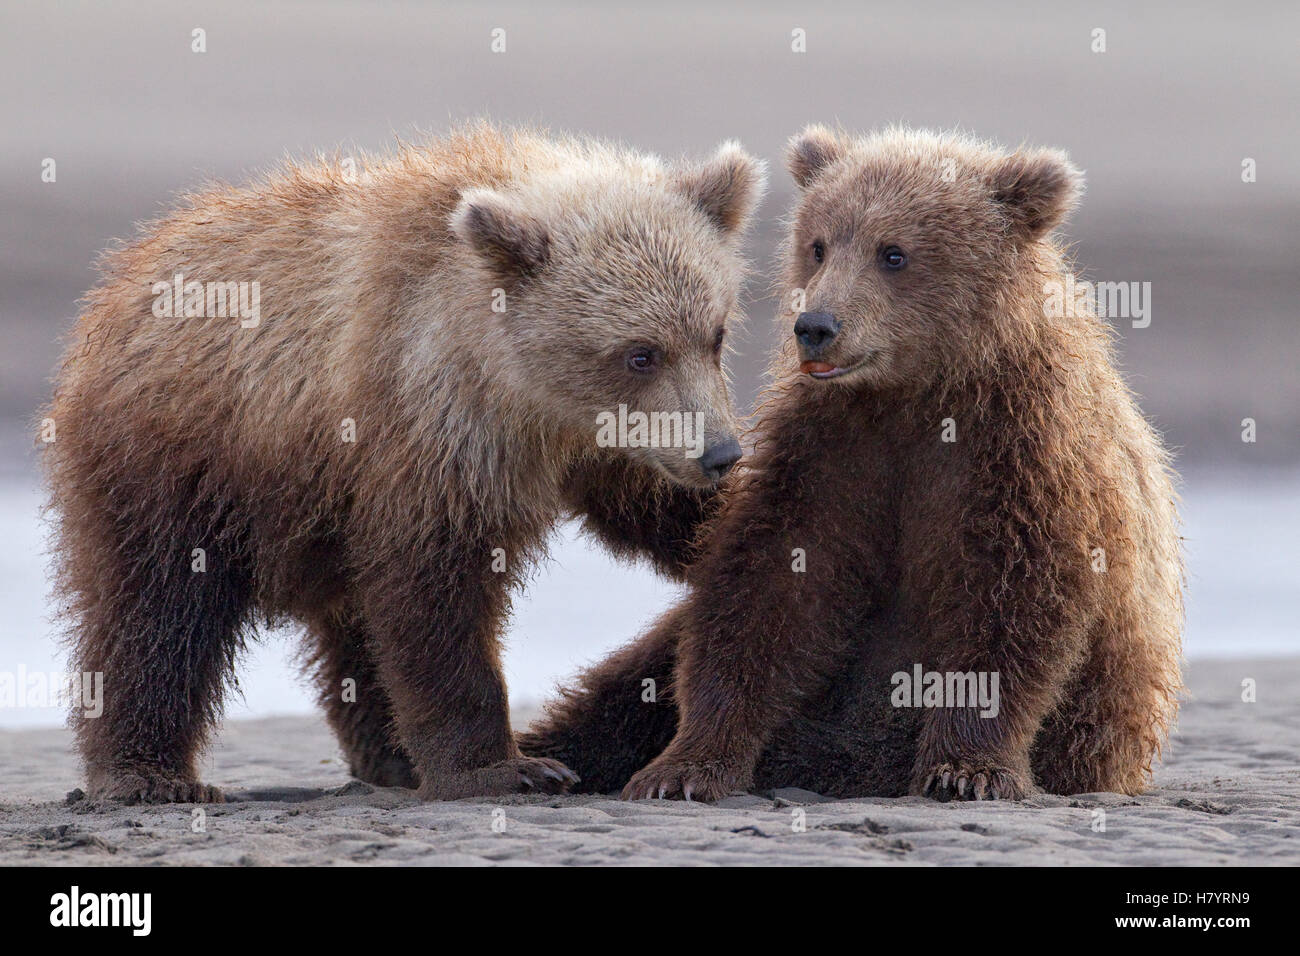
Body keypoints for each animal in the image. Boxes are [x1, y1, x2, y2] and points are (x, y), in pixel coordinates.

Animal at [42, 122, 766, 803]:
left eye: (714, 333)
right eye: (639, 353)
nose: (720, 452)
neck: (526, 397)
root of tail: (124, 274)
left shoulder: (604, 445)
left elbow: (659, 509)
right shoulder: (428, 428)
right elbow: (436, 594)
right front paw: (506, 767)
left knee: (352, 625)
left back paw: (386, 755)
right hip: (181, 458)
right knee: (156, 608)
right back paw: (149, 773)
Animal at [519, 125, 1185, 802]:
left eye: (893, 253)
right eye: (818, 244)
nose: (816, 325)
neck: (917, 392)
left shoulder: (1021, 448)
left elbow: (1014, 599)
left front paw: (966, 770)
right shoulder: (835, 449)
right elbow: (772, 590)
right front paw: (685, 767)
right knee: (629, 685)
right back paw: (551, 752)